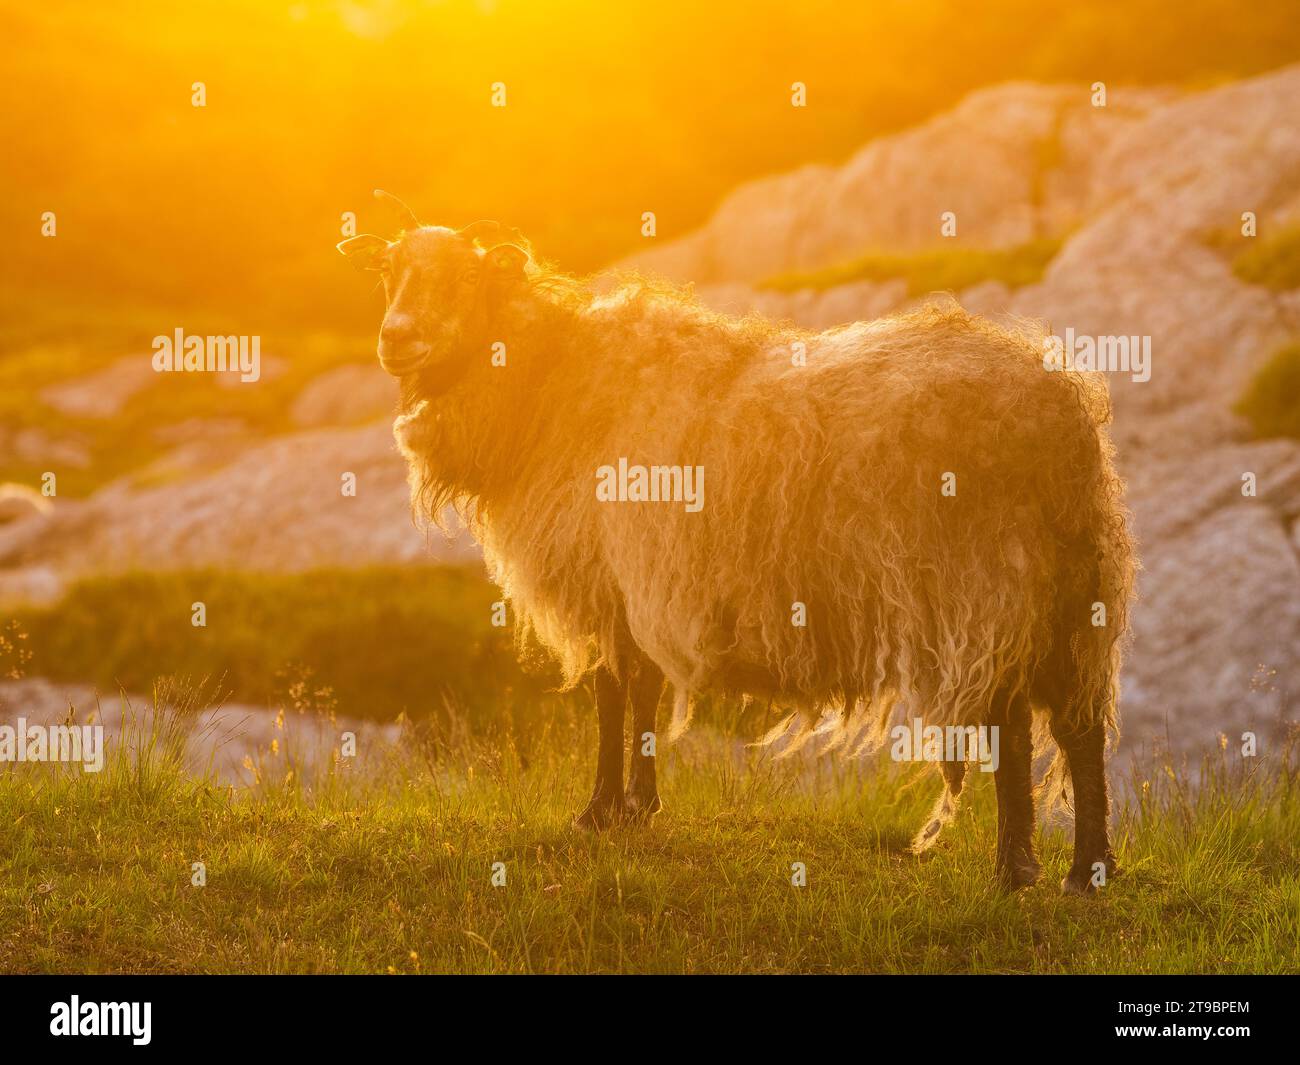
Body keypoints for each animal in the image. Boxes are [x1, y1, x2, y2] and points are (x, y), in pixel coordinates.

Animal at [338, 190, 1136, 893]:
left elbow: (614, 691)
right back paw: (1084, 871)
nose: (395, 337)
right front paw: (637, 808)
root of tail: (1061, 412)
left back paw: (1015, 869)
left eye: (464, 277)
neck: (552, 382)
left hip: (985, 586)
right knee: (1077, 725)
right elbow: (641, 688)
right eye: (388, 272)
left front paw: (601, 811)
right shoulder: (633, 582)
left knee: (1012, 722)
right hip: (1070, 595)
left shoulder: (609, 573)